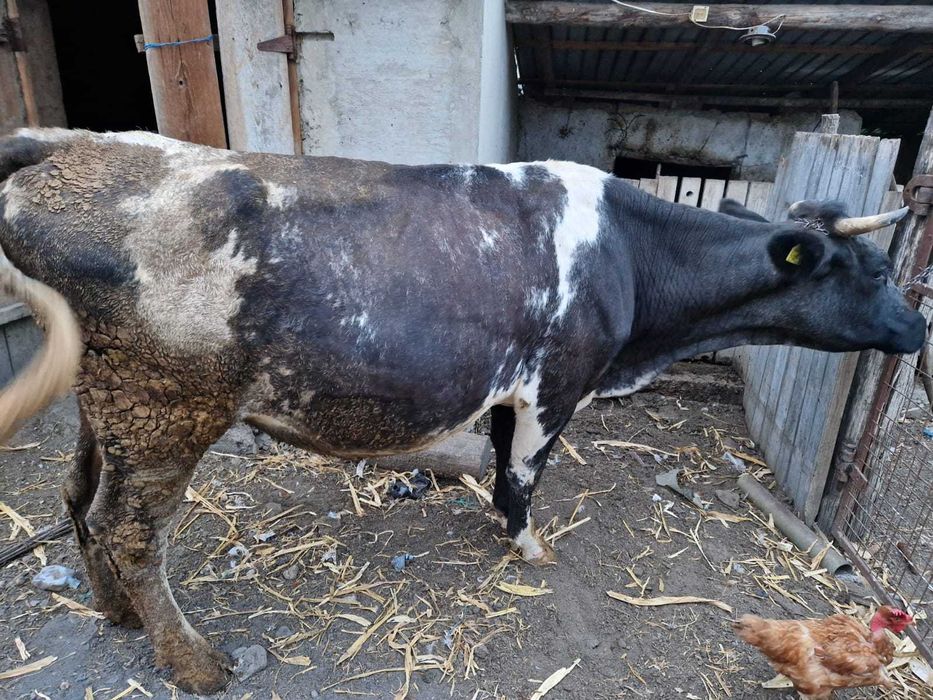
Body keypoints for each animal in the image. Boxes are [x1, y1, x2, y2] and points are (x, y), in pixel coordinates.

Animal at [0, 128, 923, 693]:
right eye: (876, 271)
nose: (918, 328)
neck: (629, 260)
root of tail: (73, 146)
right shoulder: (555, 384)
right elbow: (522, 475)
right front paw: (527, 547)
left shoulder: (513, 387)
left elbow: (500, 459)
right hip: (163, 406)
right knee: (128, 528)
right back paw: (192, 662)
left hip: (105, 403)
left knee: (79, 501)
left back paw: (115, 611)